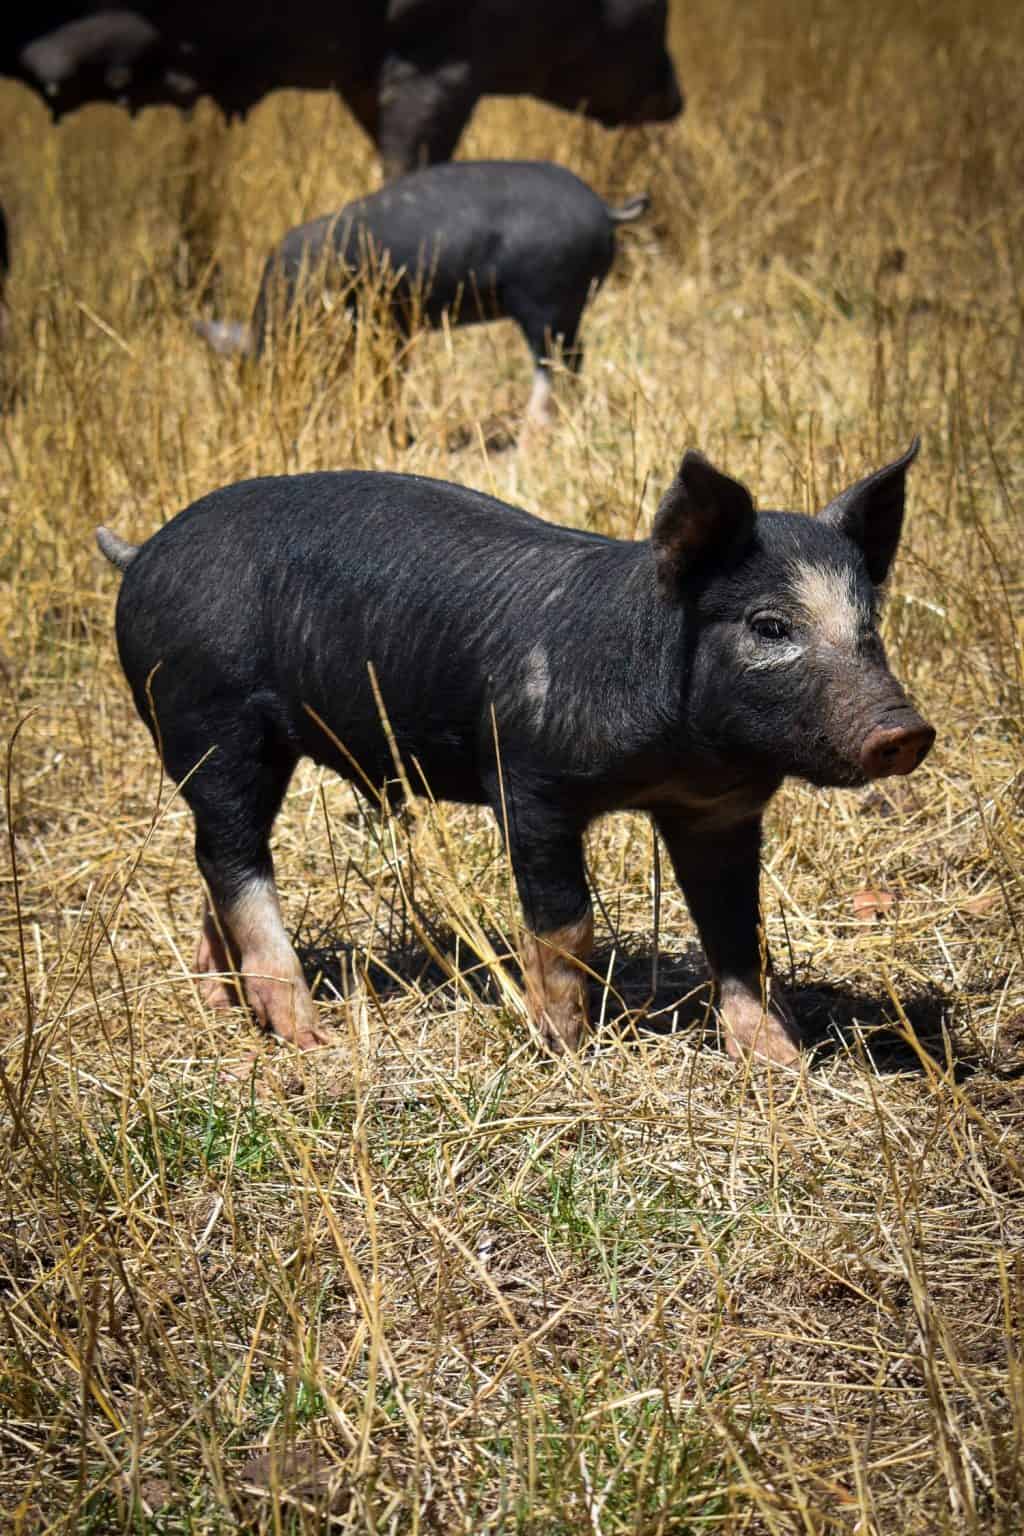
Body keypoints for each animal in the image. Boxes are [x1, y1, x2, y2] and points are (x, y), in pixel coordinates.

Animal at [96, 440, 934, 1066]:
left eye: (869, 624)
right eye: (769, 626)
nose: (905, 731)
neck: (676, 760)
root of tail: (143, 552)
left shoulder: (717, 811)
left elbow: (737, 931)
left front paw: (779, 1064)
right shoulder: (528, 781)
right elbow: (567, 926)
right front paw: (564, 1047)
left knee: (216, 857)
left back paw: (221, 1001)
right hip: (209, 718)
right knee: (233, 854)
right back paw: (307, 1035)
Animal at [194, 160, 651, 424]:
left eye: (255, 369)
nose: (255, 413)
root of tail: (604, 207)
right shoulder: (395, 325)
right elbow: (391, 374)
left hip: (545, 299)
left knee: (553, 360)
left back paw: (532, 430)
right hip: (568, 303)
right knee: (575, 357)